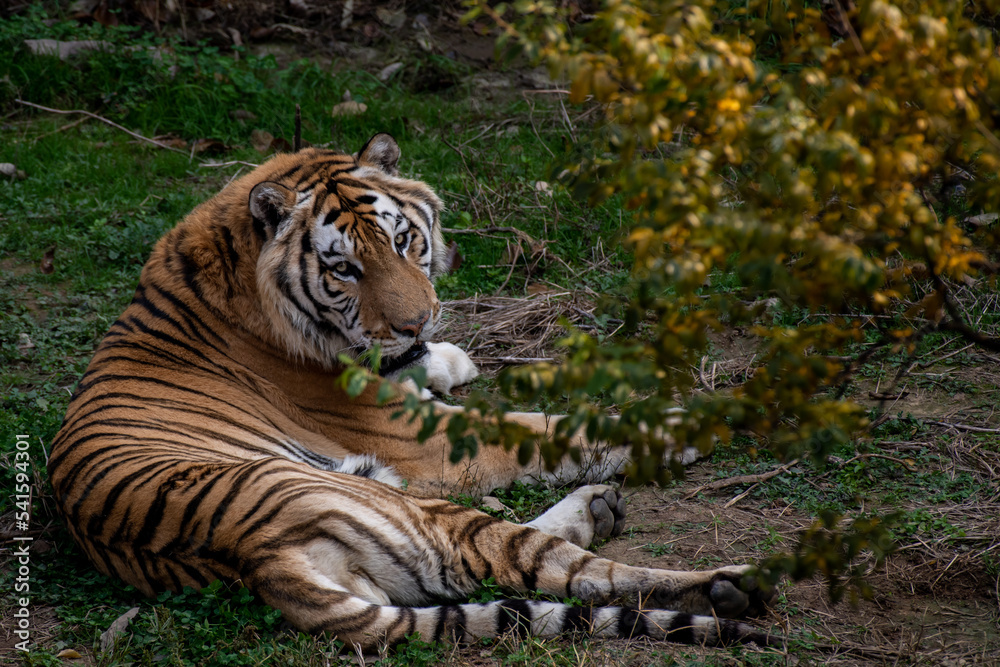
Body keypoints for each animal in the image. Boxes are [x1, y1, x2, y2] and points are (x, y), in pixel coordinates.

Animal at [48, 134, 777, 650]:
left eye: (403, 240)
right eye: (343, 268)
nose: (416, 321)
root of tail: (260, 562)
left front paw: (449, 356)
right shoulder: (421, 436)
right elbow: (551, 427)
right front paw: (693, 421)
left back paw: (597, 508)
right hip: (405, 503)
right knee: (551, 567)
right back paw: (728, 585)